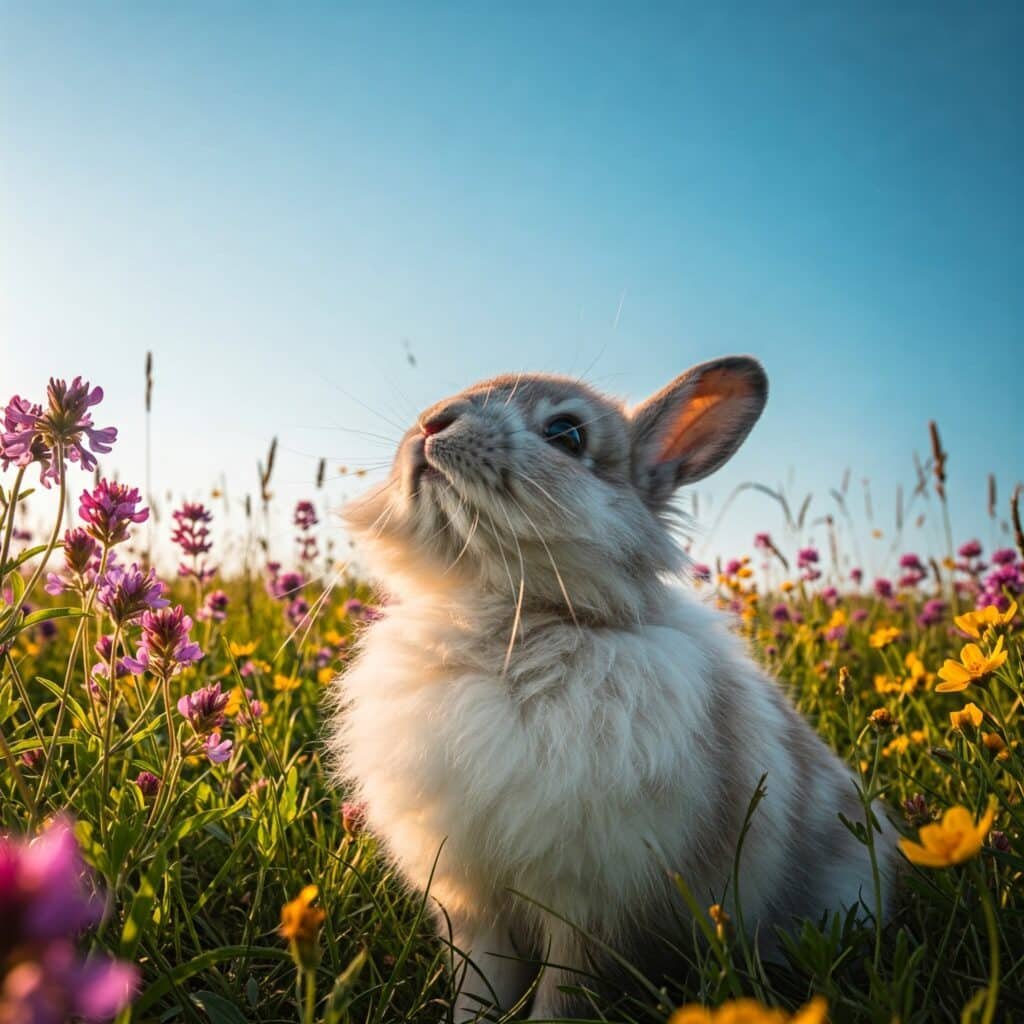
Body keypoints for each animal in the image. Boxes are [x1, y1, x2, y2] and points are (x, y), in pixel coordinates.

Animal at [327, 356, 898, 1021]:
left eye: (567, 434)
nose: (431, 423)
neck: (514, 619)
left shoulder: (588, 908)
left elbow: (560, 993)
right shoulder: (472, 906)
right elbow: (480, 986)